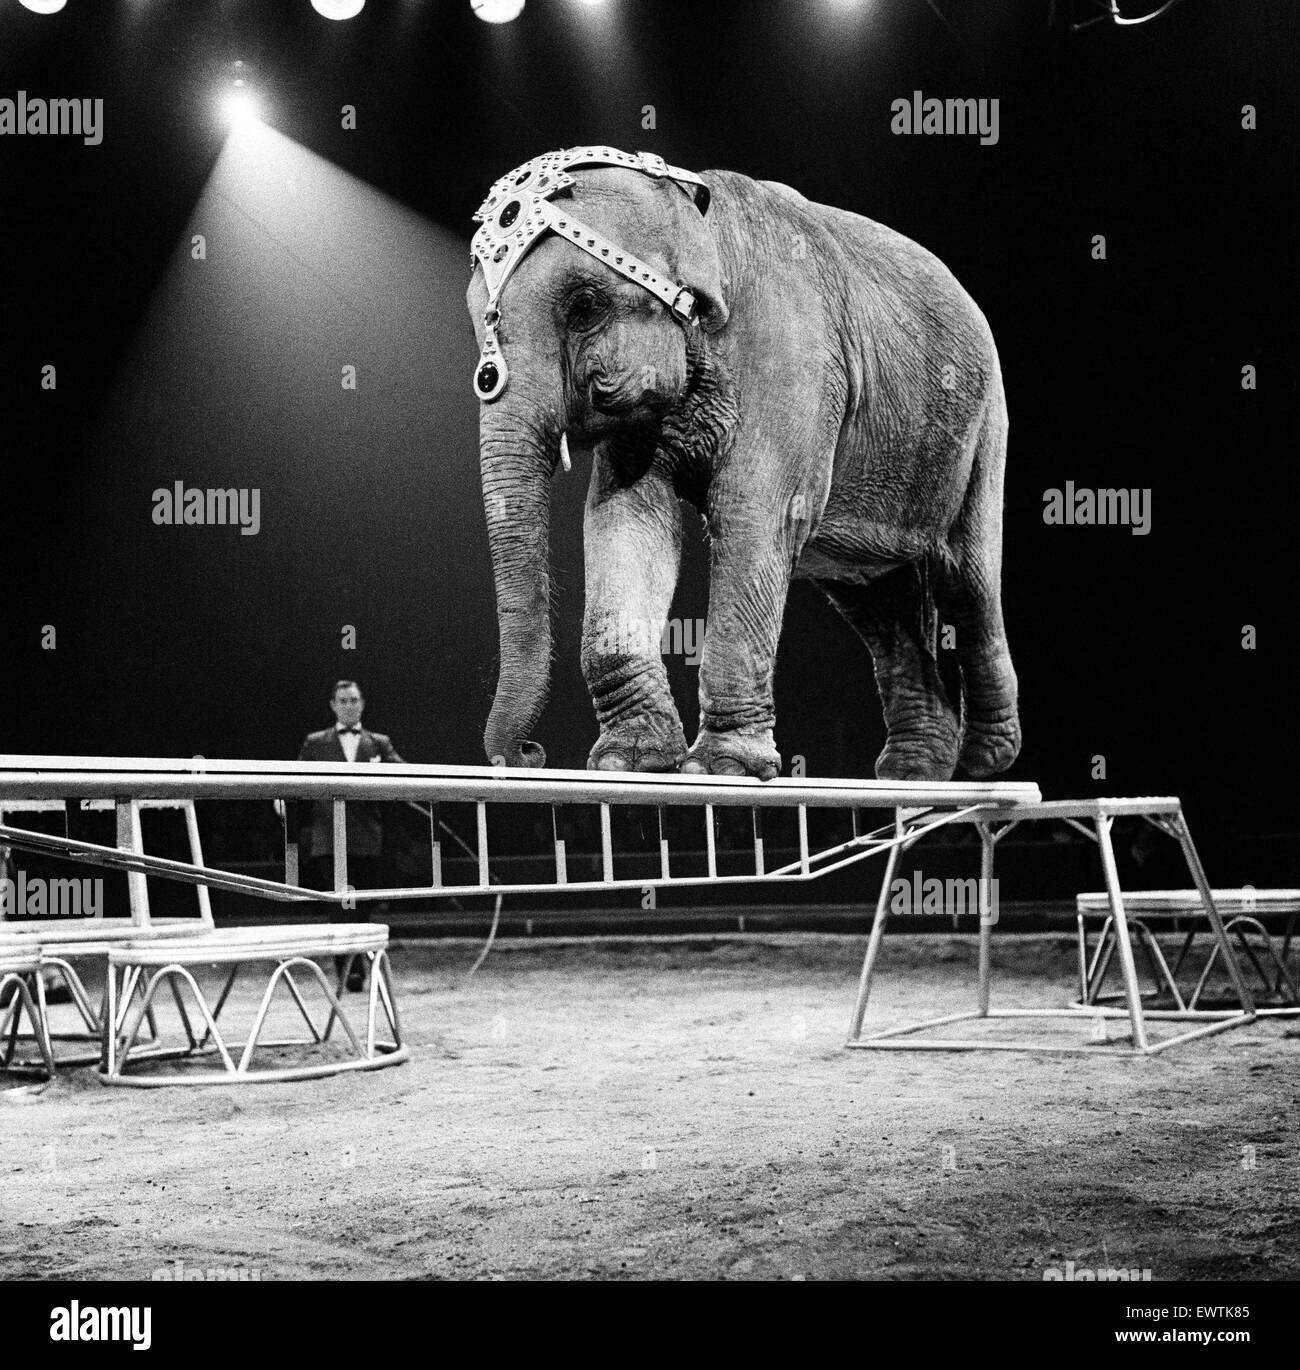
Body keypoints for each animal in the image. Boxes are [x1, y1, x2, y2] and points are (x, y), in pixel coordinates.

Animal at [466, 146, 1020, 782]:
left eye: (584, 308)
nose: (527, 753)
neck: (694, 208)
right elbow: (624, 516)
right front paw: (630, 763)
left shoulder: (793, 356)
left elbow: (753, 516)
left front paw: (722, 769)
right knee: (881, 601)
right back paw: (914, 773)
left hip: (984, 429)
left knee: (966, 581)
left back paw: (984, 765)